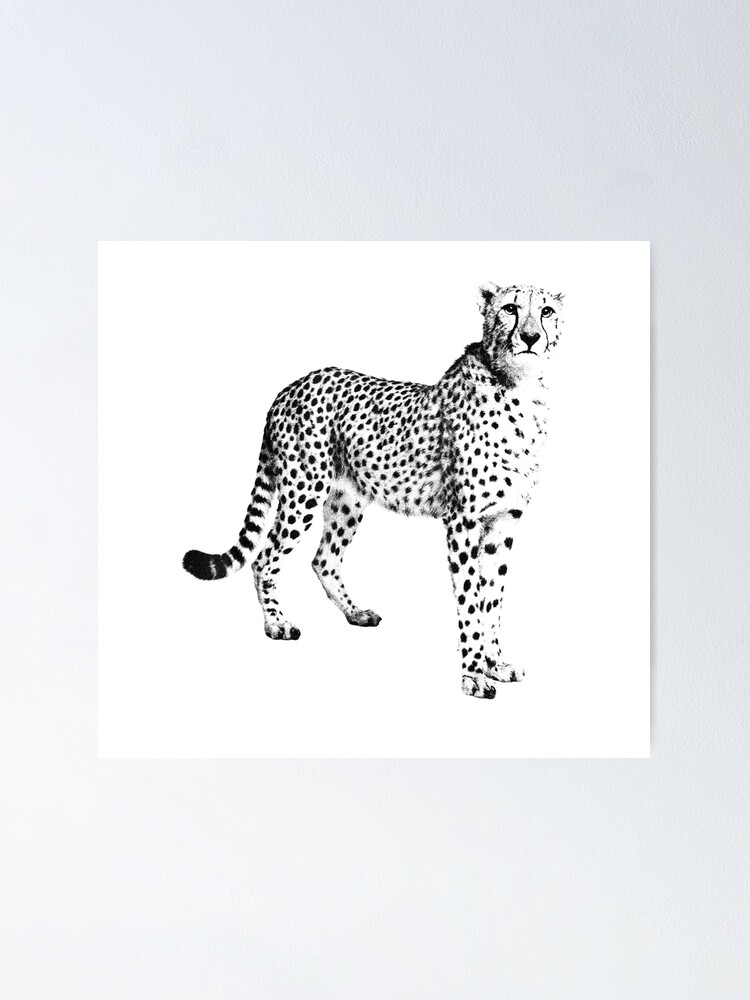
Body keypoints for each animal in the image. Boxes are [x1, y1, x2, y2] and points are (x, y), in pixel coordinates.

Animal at [183, 283, 564, 698]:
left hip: (346, 500)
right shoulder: (462, 521)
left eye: (546, 311)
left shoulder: (504, 521)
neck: (519, 387)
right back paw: (276, 624)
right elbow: (470, 599)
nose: (530, 337)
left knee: (324, 559)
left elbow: (492, 598)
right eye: (510, 308)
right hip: (303, 491)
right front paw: (473, 675)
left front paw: (496, 664)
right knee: (264, 557)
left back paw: (356, 613)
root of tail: (292, 385)